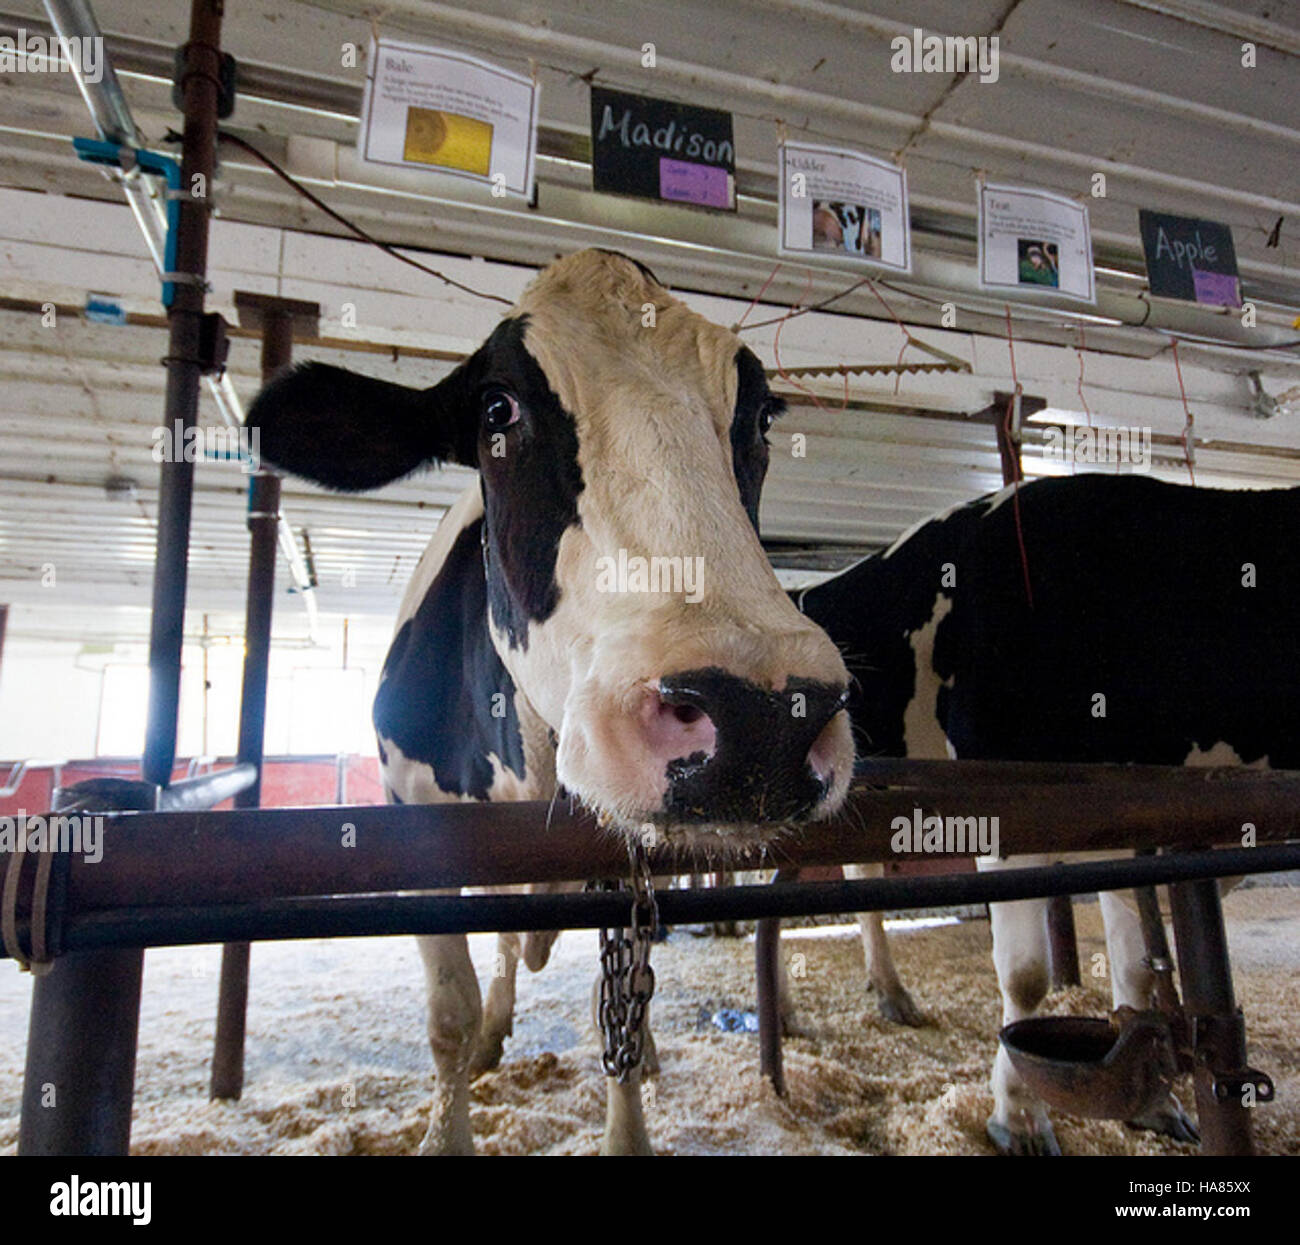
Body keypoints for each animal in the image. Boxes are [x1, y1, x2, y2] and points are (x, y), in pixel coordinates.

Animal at [244, 249, 855, 1156]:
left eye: (761, 417)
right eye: (498, 407)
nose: (760, 719)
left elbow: (621, 1003)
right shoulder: (411, 815)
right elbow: (451, 1016)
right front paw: (451, 1123)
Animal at [797, 471, 1299, 1155]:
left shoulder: (1136, 825)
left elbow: (1139, 970)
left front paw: (1155, 1103)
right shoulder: (1004, 807)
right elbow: (1027, 976)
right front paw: (1019, 1118)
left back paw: (891, 992)